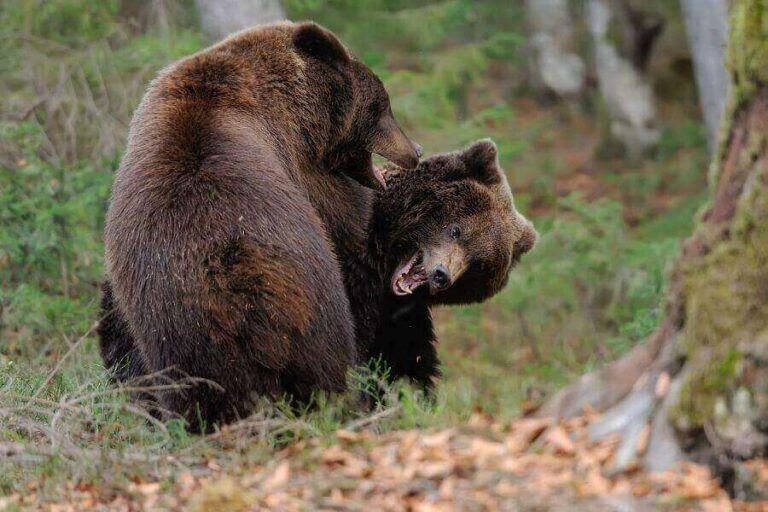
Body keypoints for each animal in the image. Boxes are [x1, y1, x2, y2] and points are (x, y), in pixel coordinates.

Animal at [100, 21, 420, 430]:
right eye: (383, 107)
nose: (415, 151)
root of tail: (238, 292)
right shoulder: (305, 172)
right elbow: (347, 218)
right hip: (313, 301)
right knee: (330, 367)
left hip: (179, 335)